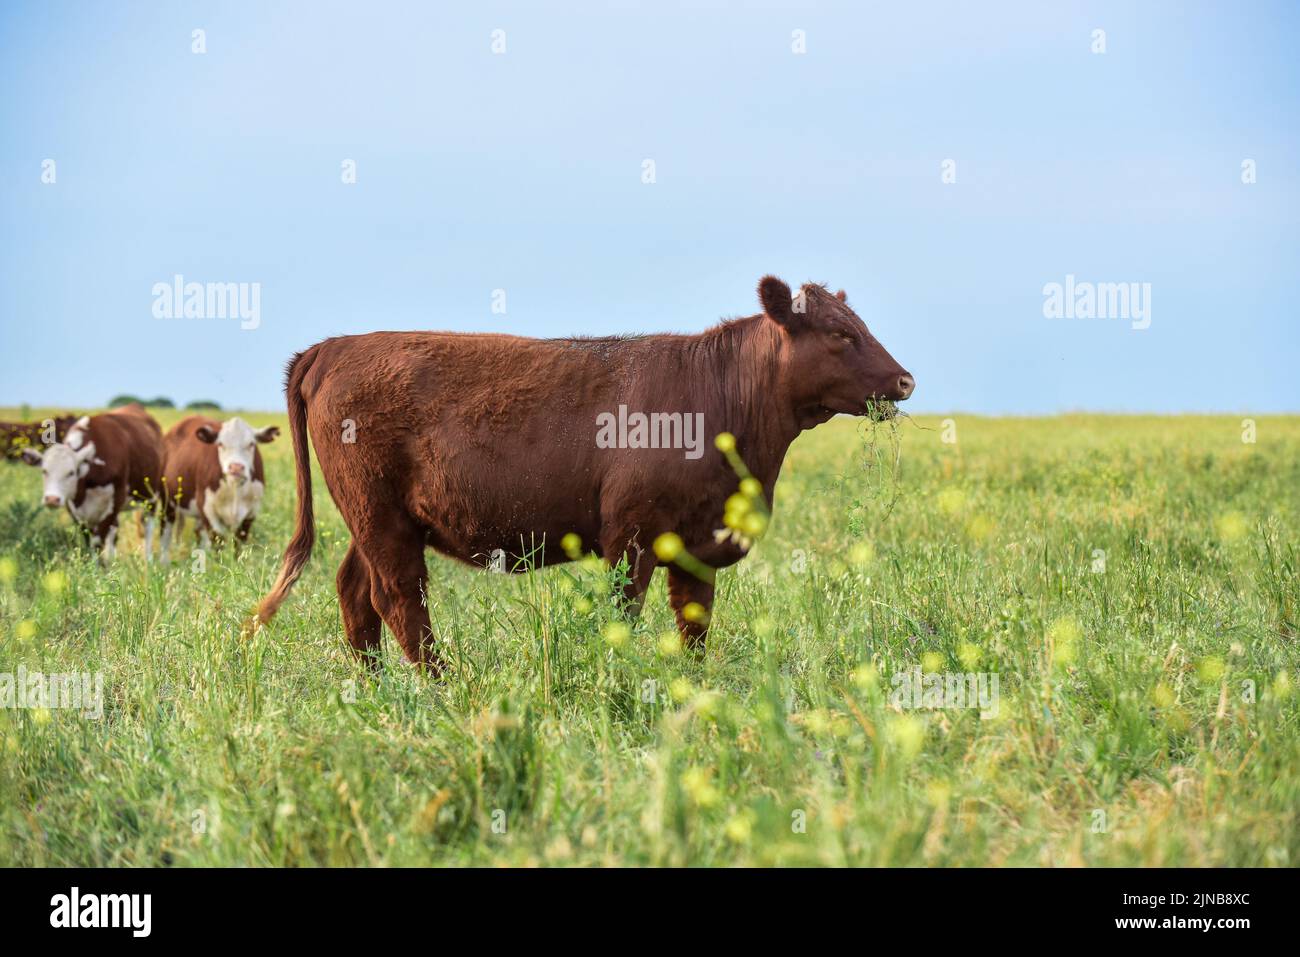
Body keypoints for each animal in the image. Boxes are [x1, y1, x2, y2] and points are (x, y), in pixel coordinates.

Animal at [20, 403, 164, 561]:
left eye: (71, 472)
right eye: (44, 471)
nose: (52, 499)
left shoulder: (114, 503)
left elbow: (97, 542)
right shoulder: (74, 509)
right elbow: (89, 541)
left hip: (151, 498)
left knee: (147, 528)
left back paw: (148, 560)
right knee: (115, 532)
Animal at [159, 415, 280, 562]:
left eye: (251, 444)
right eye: (221, 444)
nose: (236, 467)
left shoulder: (251, 511)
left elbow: (239, 544)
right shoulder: (207, 508)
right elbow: (218, 542)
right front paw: (219, 565)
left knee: (199, 533)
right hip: (167, 502)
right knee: (165, 531)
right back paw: (163, 562)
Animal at [252, 276, 914, 673]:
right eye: (840, 333)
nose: (905, 380)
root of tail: (335, 346)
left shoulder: (697, 546)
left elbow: (694, 622)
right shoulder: (631, 538)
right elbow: (626, 614)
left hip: (377, 520)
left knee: (354, 591)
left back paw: (372, 684)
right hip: (379, 516)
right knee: (397, 598)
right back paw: (441, 686)